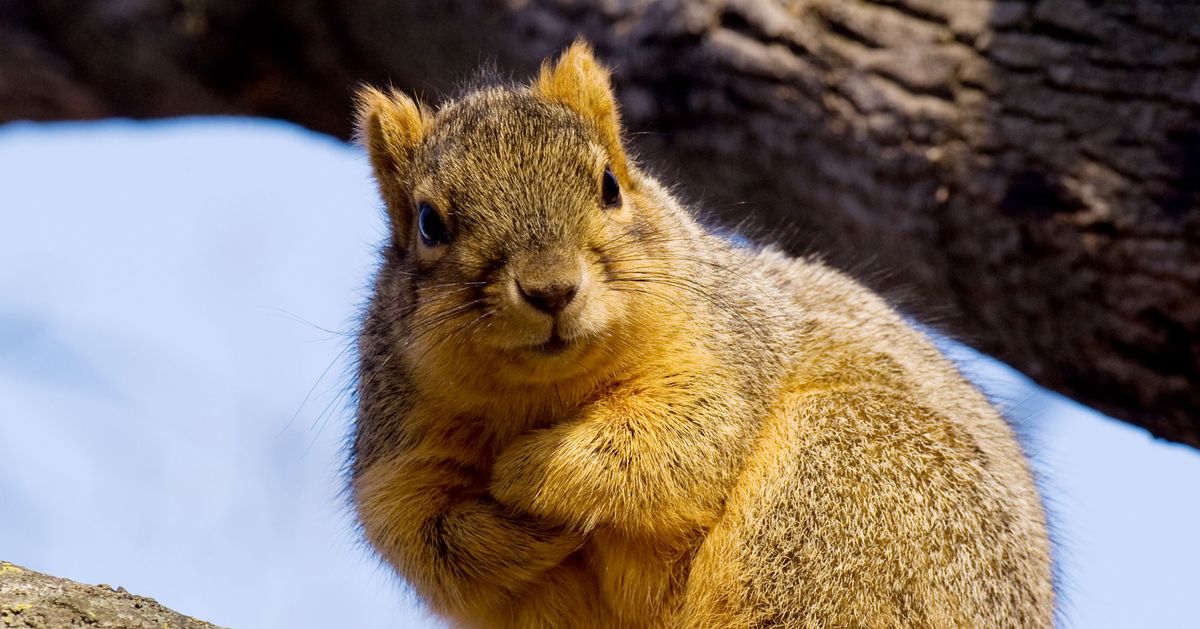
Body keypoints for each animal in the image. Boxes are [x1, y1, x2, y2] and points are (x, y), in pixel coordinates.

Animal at [349, 41, 1055, 628]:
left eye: (610, 185)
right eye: (428, 223)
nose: (551, 289)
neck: (551, 391)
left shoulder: (728, 344)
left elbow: (684, 436)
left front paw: (530, 471)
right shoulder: (402, 440)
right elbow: (424, 536)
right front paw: (517, 524)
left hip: (849, 493)